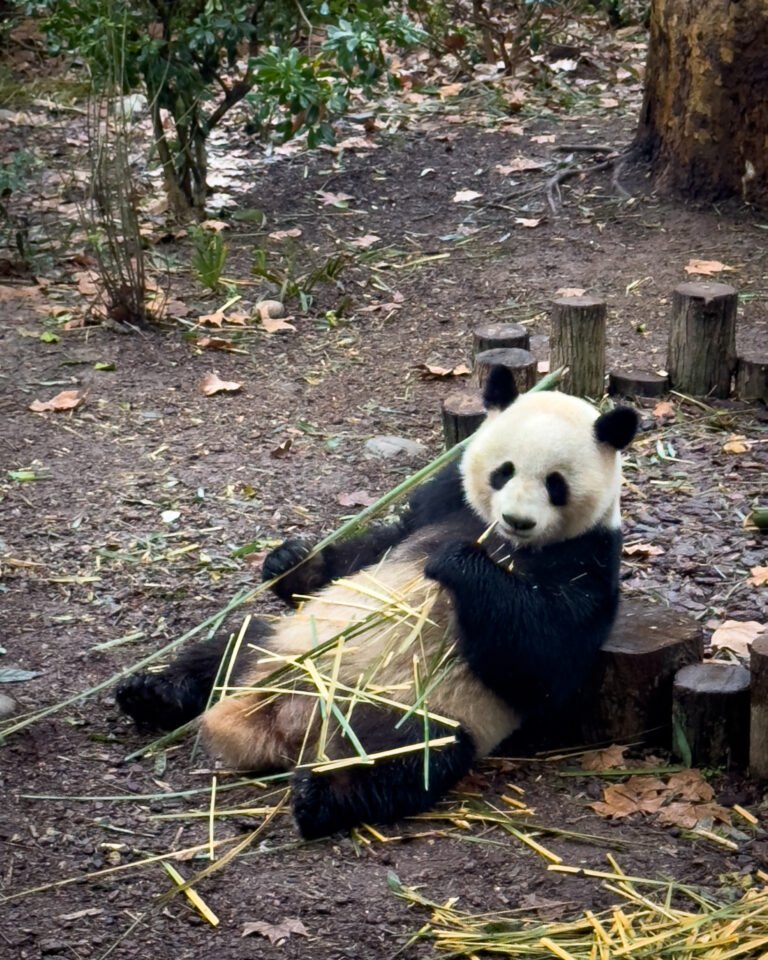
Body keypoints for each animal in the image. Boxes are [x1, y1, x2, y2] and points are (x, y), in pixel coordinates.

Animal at [117, 366, 638, 839]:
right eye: (503, 471)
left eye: (555, 483)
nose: (517, 520)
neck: (503, 540)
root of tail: (288, 723)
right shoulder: (444, 501)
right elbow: (373, 549)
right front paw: (291, 561)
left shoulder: (588, 560)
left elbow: (541, 660)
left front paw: (457, 562)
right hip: (284, 646)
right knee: (227, 649)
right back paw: (150, 693)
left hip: (421, 714)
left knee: (400, 762)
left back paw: (318, 797)